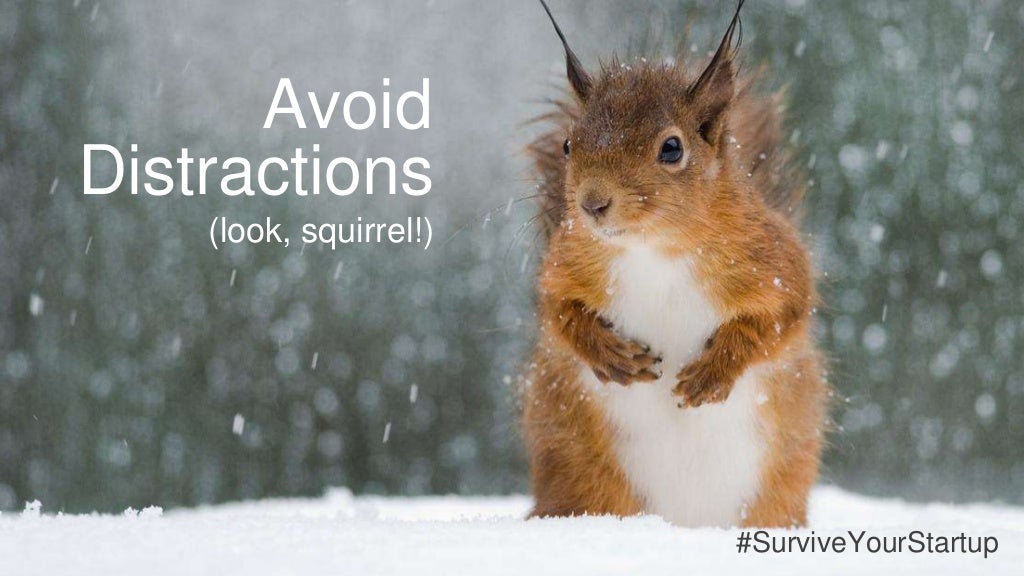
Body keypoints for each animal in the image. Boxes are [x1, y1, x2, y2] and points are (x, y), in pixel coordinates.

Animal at [522, 0, 829, 528]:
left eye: (672, 148)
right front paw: (610, 354)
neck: (653, 251)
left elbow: (781, 316)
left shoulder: (774, 258)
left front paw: (714, 371)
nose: (591, 204)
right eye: (568, 145)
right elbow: (557, 309)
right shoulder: (564, 262)